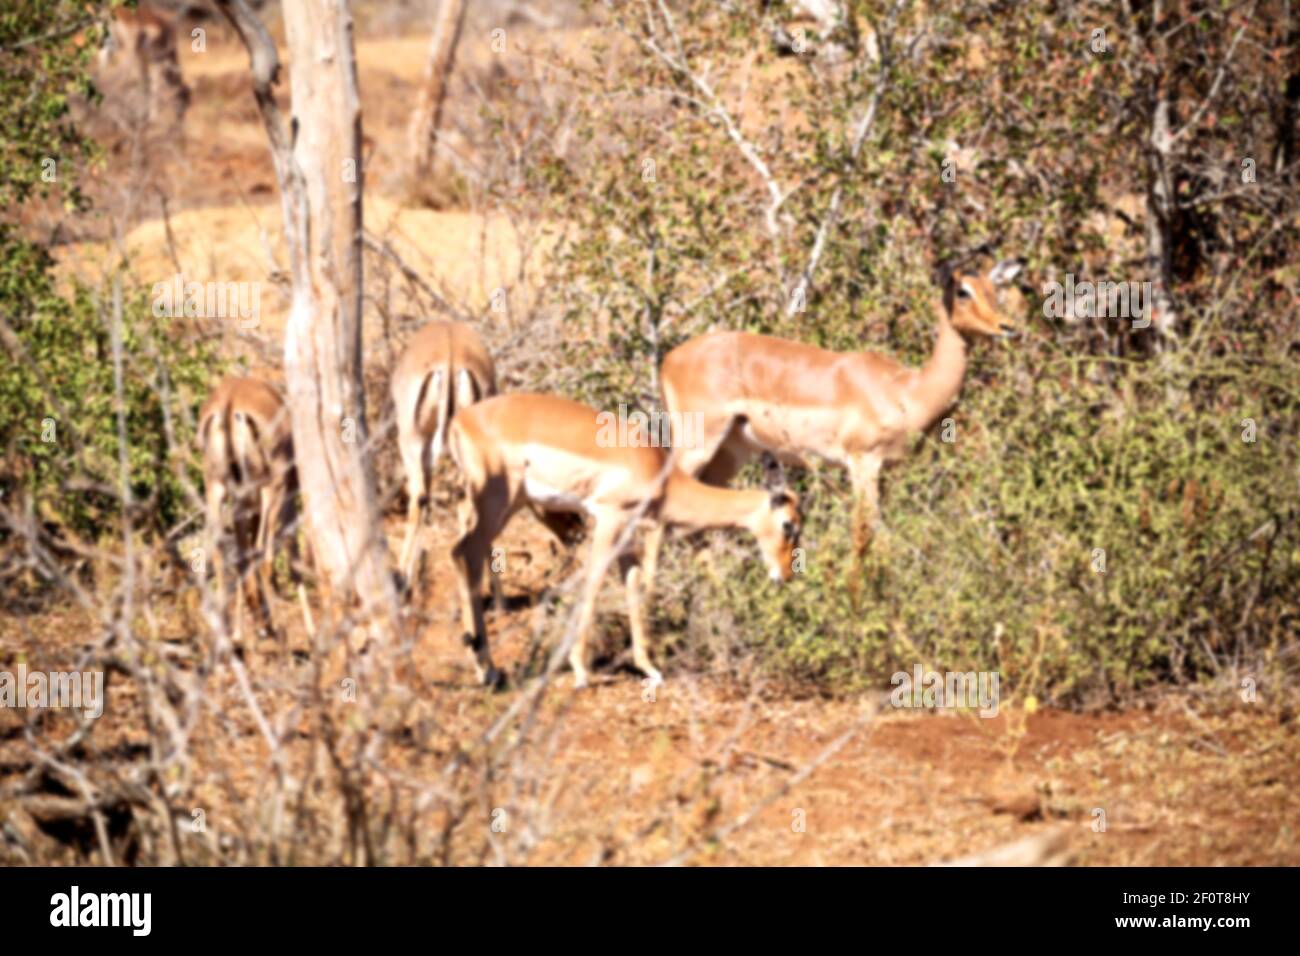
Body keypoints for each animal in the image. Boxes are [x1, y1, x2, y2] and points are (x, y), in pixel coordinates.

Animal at [198, 375, 300, 639]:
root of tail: (228, 407)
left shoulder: (248, 507)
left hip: (217, 490)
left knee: (223, 553)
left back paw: (228, 632)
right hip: (270, 490)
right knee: (264, 554)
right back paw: (277, 628)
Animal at [447, 393, 802, 689]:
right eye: (789, 525)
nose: (785, 575)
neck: (660, 475)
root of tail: (460, 419)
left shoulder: (628, 535)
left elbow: (633, 586)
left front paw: (649, 668)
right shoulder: (609, 519)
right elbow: (594, 582)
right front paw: (580, 671)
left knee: (461, 553)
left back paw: (484, 666)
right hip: (498, 502)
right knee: (468, 552)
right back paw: (488, 669)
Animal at [656, 259, 1022, 551]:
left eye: (993, 288)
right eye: (962, 291)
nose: (1008, 327)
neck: (905, 389)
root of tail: (669, 360)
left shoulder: (886, 471)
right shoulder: (862, 462)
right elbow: (868, 531)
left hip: (729, 454)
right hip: (698, 445)